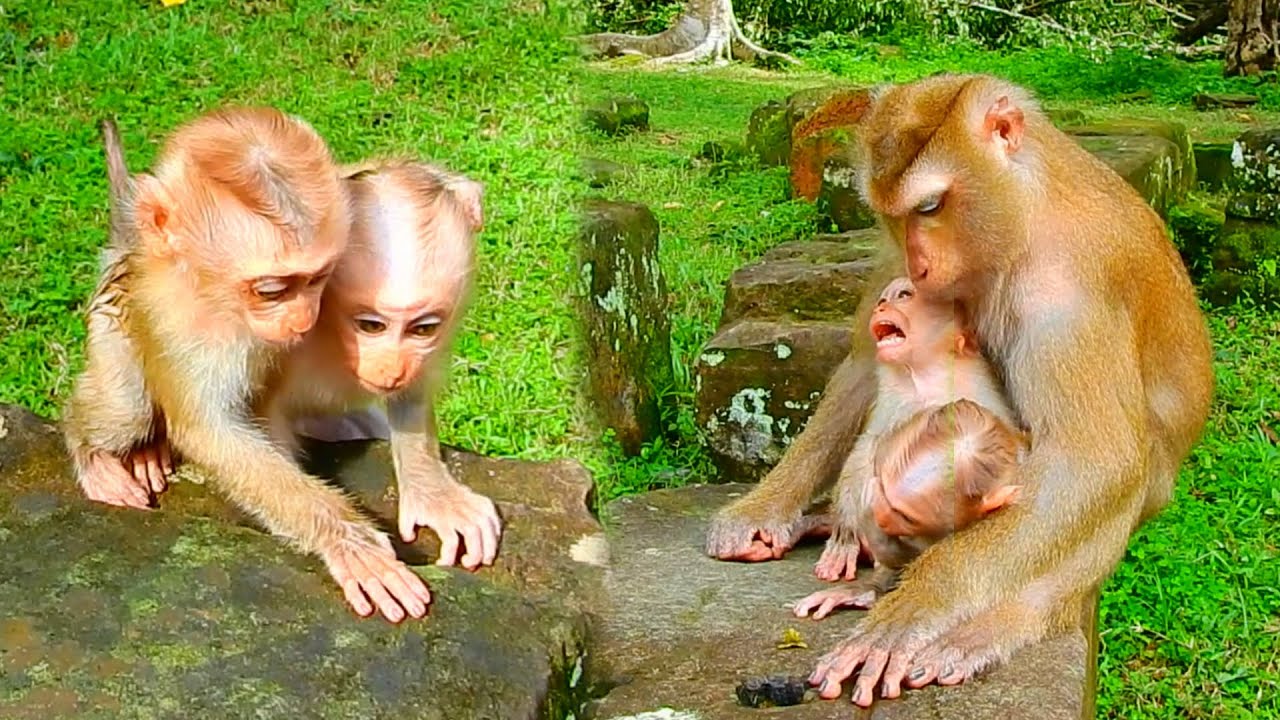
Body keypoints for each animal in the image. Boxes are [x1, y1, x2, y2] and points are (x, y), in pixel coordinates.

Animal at [61, 107, 433, 624]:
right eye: (272, 290)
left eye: (317, 279)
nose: (302, 319)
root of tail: (125, 247)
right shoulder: (183, 324)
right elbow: (210, 430)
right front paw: (346, 538)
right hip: (111, 331)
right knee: (125, 407)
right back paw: (93, 450)